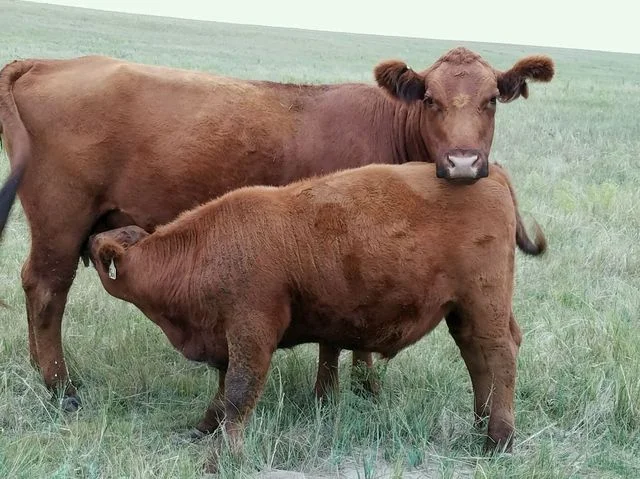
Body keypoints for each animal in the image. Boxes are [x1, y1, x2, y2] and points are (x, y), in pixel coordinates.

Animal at [0, 47, 554, 411]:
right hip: (61, 219)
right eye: (431, 99)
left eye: (491, 99)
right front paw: (341, 393)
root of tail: (48, 63)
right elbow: (343, 336)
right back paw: (60, 386)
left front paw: (358, 390)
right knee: (47, 289)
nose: (463, 163)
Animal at [88, 161, 544, 471]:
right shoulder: (225, 339)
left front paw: (221, 458)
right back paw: (481, 423)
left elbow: (238, 392)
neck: (205, 247)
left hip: (483, 303)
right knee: (477, 359)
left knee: (499, 356)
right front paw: (204, 428)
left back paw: (498, 440)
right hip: (462, 313)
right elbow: (223, 391)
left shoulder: (252, 332)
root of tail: (492, 172)